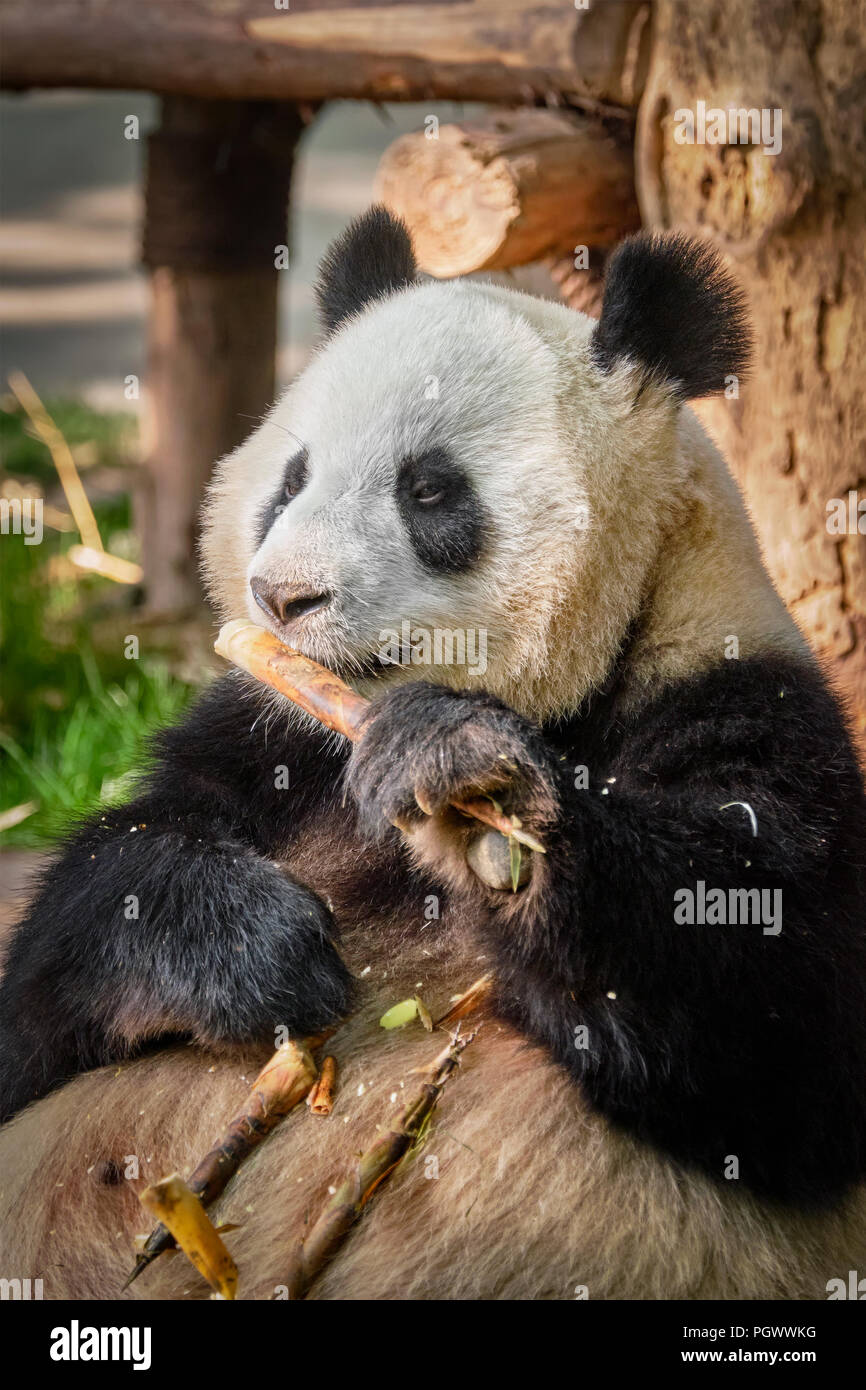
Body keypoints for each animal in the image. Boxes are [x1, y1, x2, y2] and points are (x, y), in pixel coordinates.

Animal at [0, 208, 864, 1301]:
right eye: (292, 479)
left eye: (428, 490)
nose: (279, 595)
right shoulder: (262, 742)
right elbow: (57, 964)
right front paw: (254, 947)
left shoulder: (748, 706)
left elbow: (785, 1031)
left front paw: (463, 781)